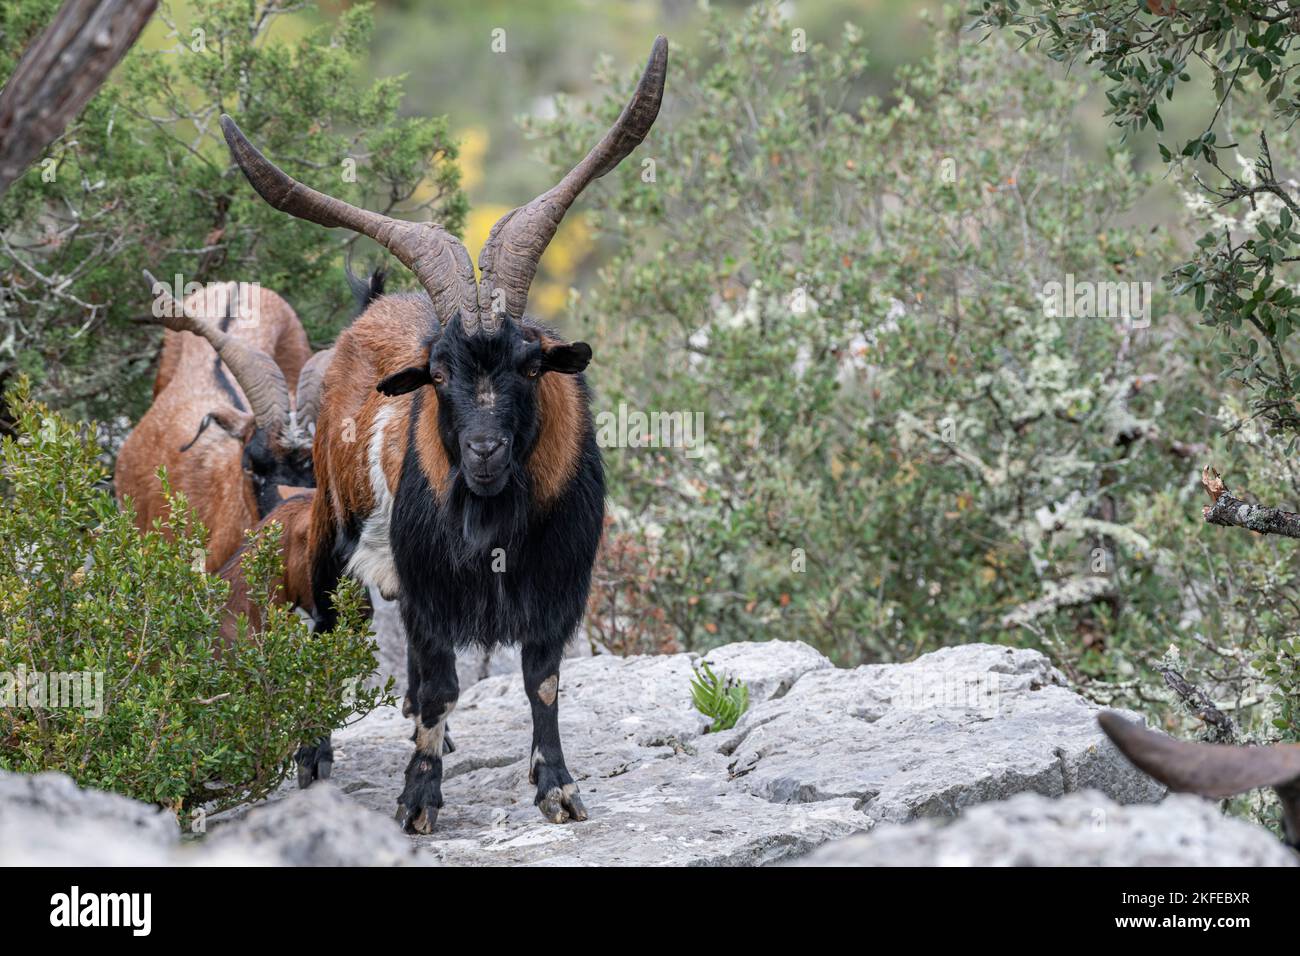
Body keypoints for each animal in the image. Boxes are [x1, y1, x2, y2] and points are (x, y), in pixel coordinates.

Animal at [219, 35, 667, 831]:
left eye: (531, 363)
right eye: (436, 372)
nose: (485, 451)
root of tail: (369, 307)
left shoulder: (559, 586)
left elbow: (542, 682)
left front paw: (557, 787)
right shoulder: (429, 589)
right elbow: (437, 683)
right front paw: (419, 801)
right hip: (332, 526)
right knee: (325, 630)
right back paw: (314, 756)